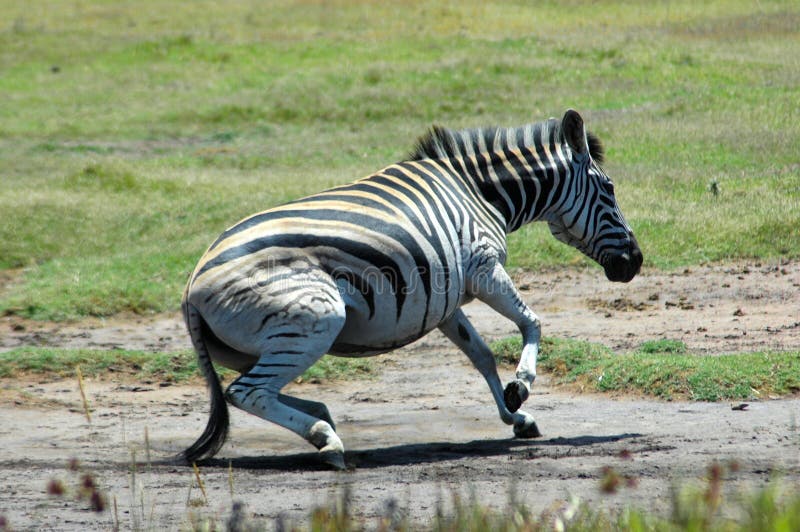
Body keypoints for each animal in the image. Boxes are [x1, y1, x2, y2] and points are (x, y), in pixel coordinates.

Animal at [180, 109, 642, 469]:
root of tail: (191, 288)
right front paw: (521, 388)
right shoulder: (483, 268)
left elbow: (481, 355)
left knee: (255, 388)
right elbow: (532, 323)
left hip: (249, 346)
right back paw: (326, 439)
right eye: (609, 189)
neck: (480, 193)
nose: (635, 262)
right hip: (316, 318)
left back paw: (319, 418)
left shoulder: (445, 298)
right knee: (247, 391)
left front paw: (516, 417)